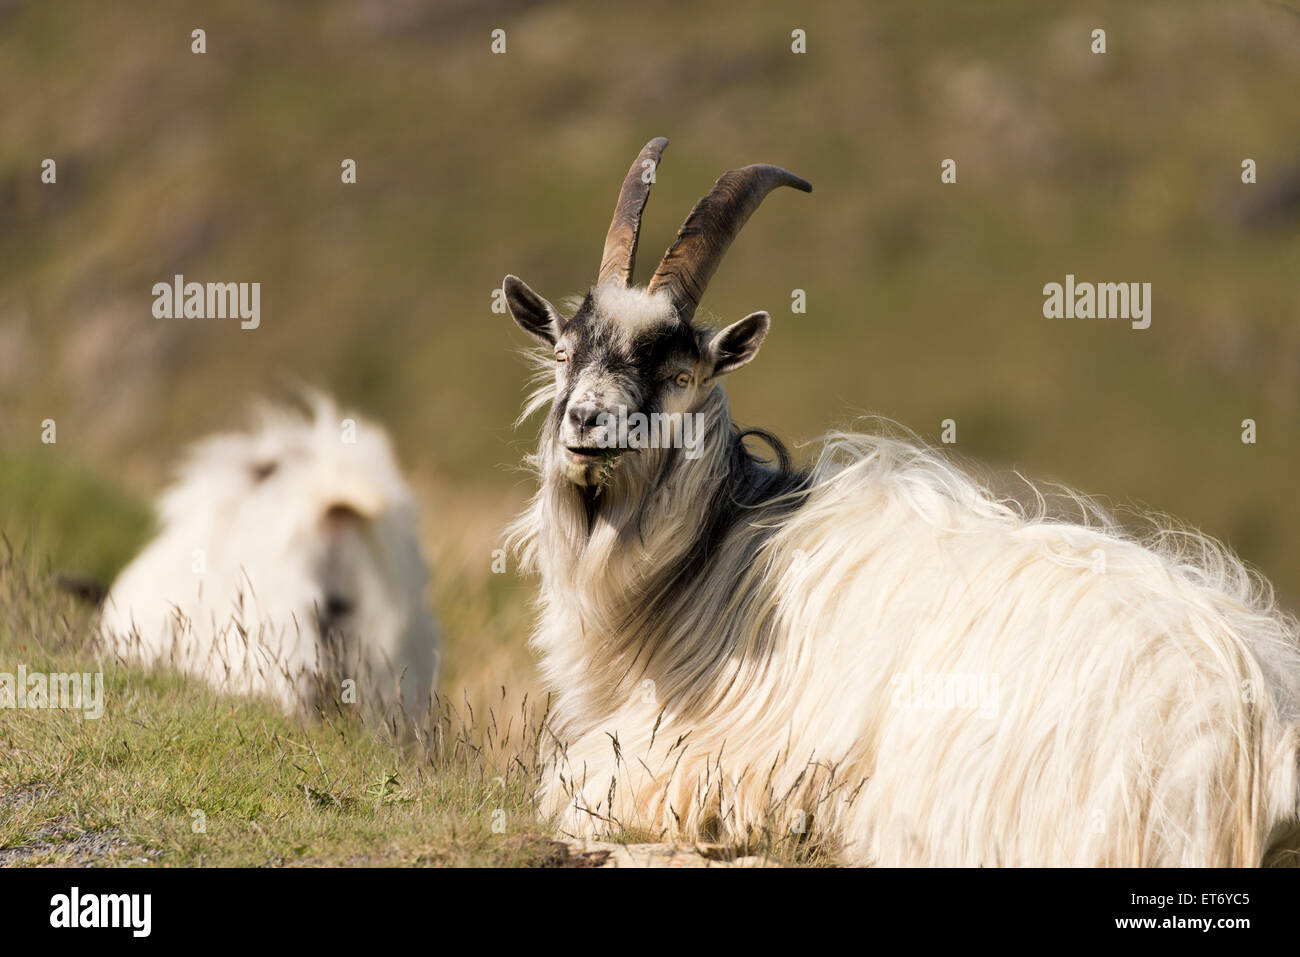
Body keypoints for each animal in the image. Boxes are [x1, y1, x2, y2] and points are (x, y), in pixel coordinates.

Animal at [503, 137, 1300, 865]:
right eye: (564, 353)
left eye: (677, 373)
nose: (589, 423)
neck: (709, 557)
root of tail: (1261, 747)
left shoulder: (678, 755)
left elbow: (574, 788)